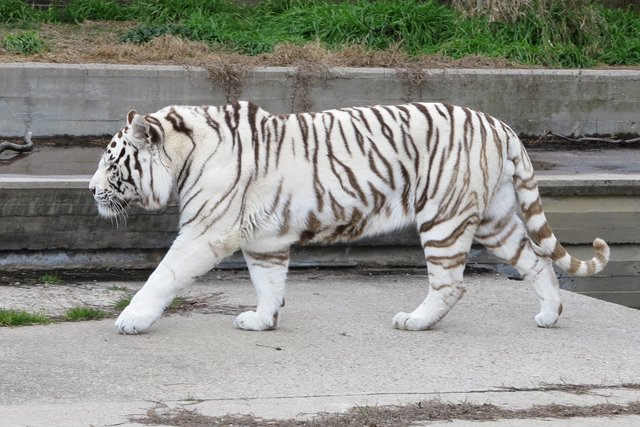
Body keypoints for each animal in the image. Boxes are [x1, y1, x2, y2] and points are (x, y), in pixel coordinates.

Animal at [89, 101, 609, 335]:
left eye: (111, 162)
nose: (91, 190)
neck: (185, 154)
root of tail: (500, 125)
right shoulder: (265, 238)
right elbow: (268, 282)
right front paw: (263, 320)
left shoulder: (206, 231)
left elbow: (164, 274)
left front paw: (131, 319)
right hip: (495, 219)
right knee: (537, 261)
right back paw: (548, 315)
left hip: (444, 217)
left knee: (450, 284)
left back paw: (414, 321)